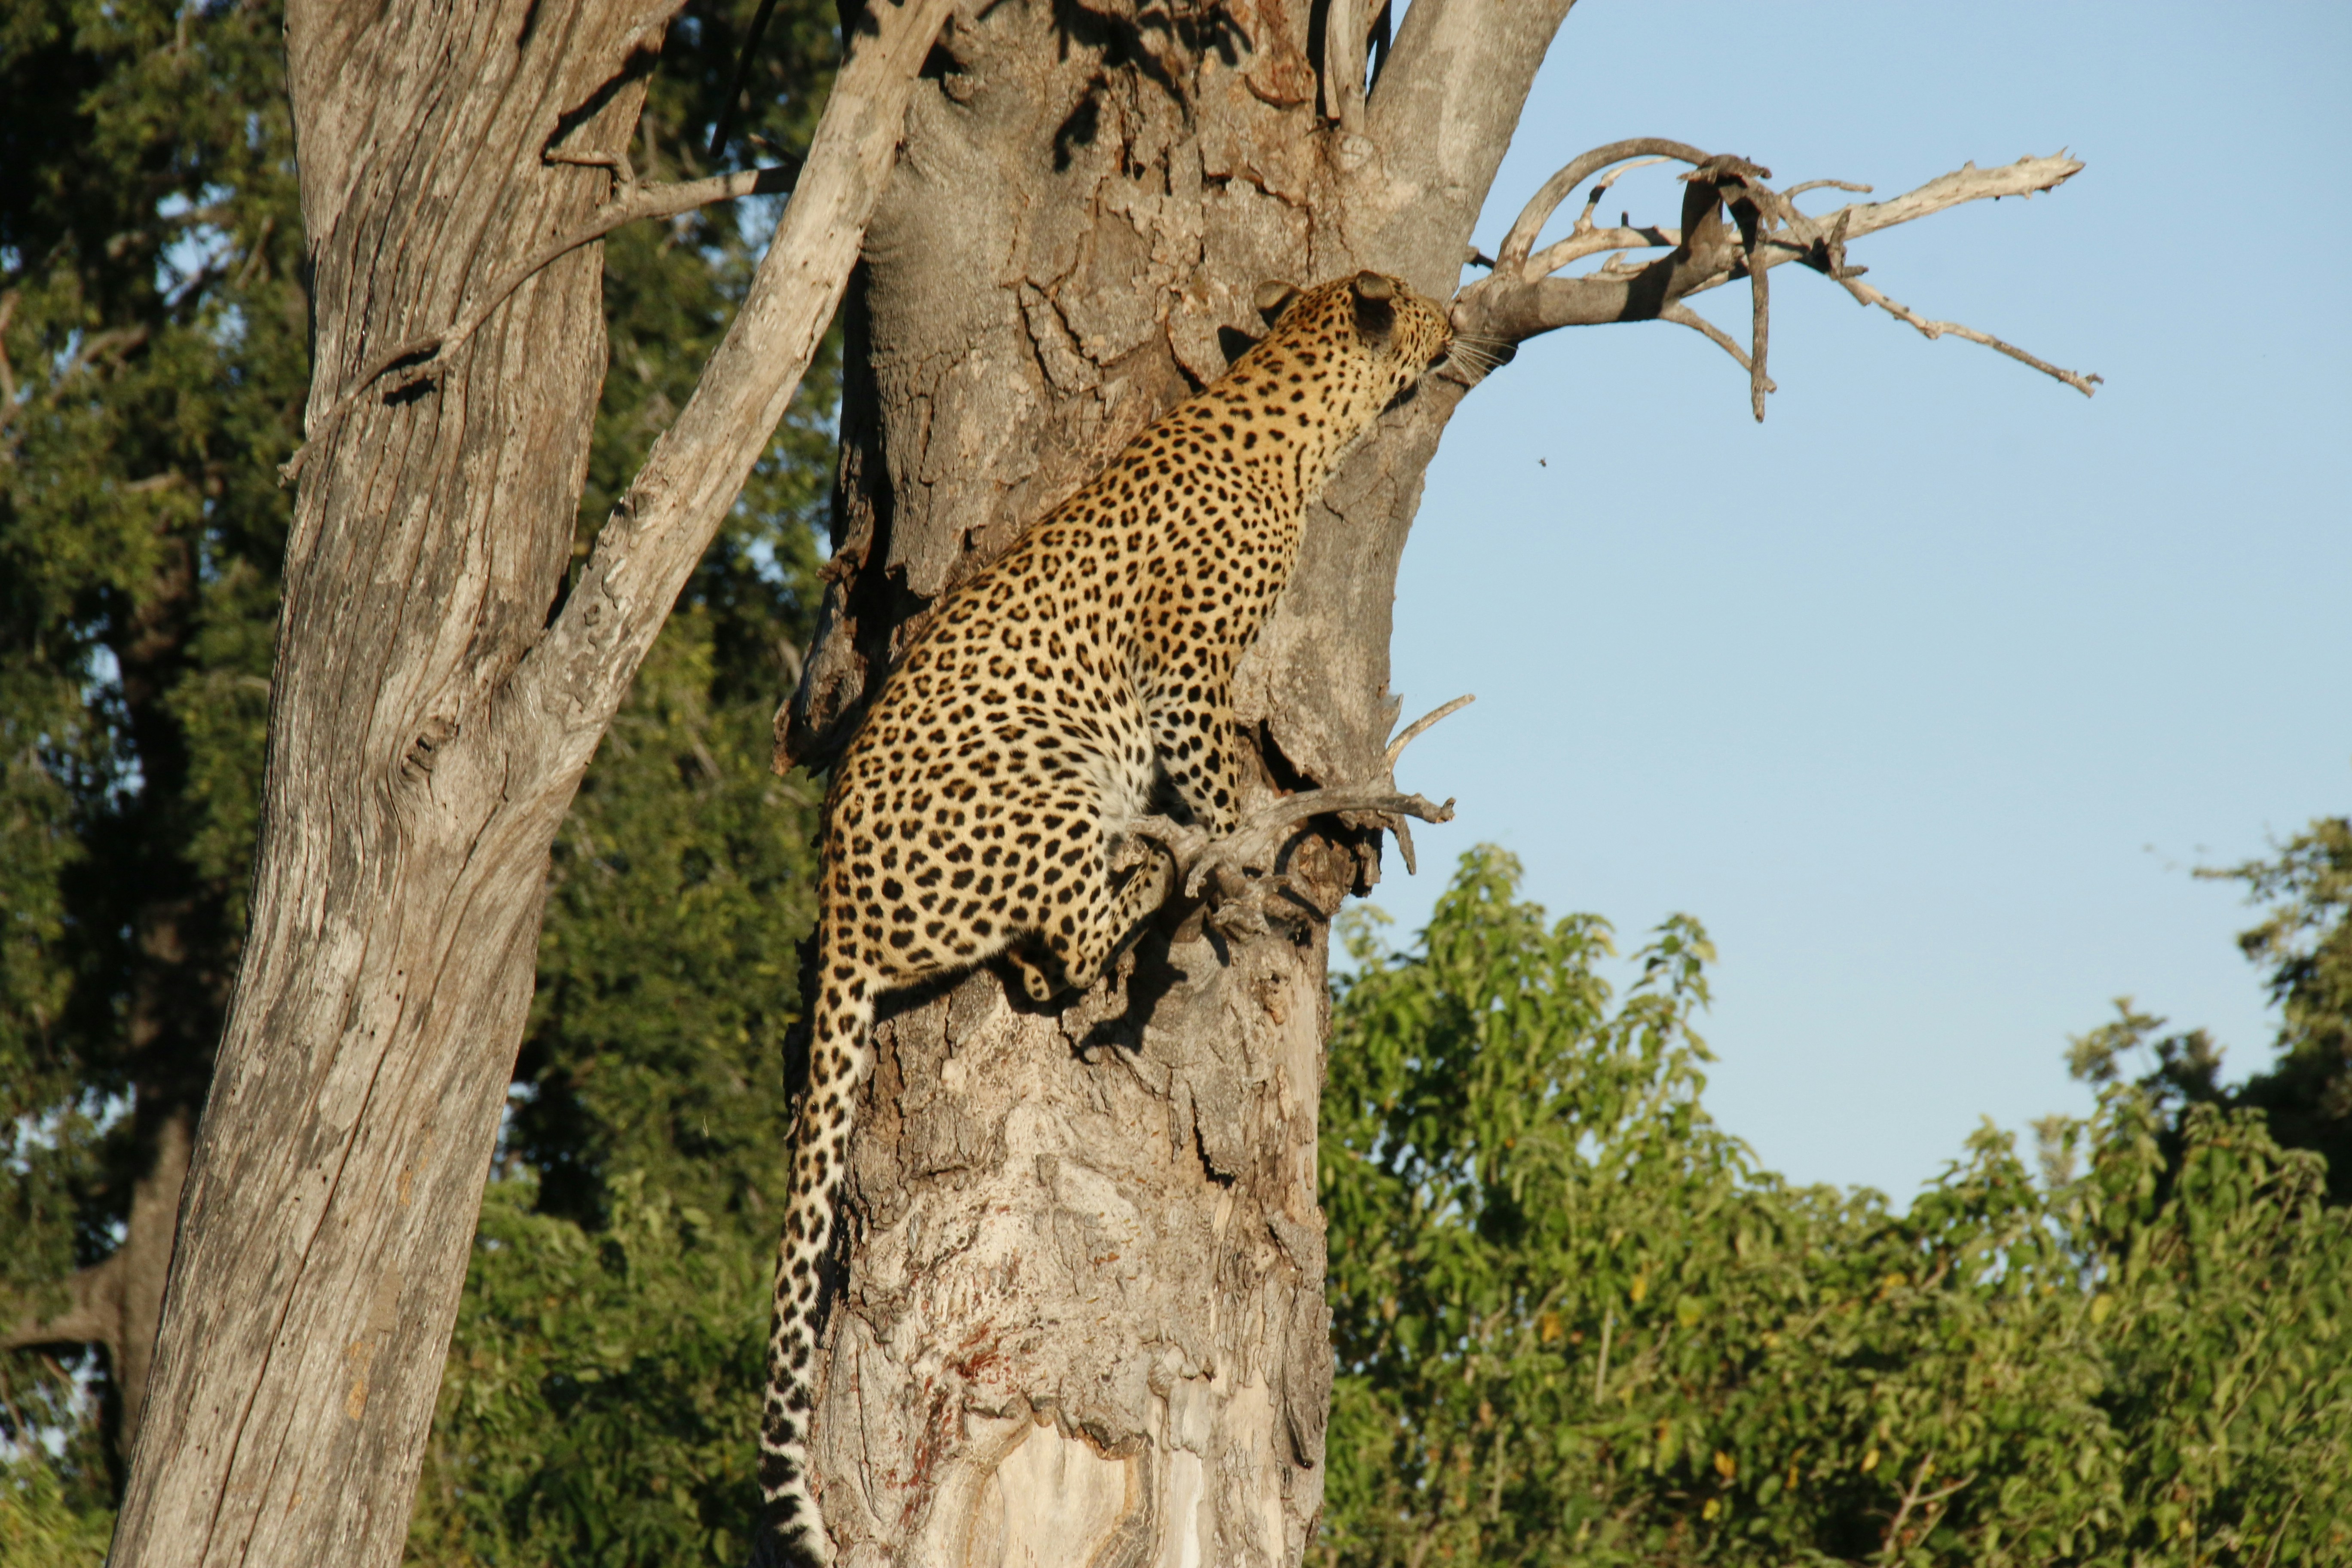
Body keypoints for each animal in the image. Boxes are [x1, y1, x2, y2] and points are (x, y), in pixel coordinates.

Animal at [757, 270, 1453, 1565]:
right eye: (1424, 308)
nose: (1456, 320)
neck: (1293, 419)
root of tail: (841, 912)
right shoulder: (1183, 672)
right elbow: (1221, 790)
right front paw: (1248, 865)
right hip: (1051, 783)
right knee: (1070, 955)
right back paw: (1151, 874)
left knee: (1043, 971)